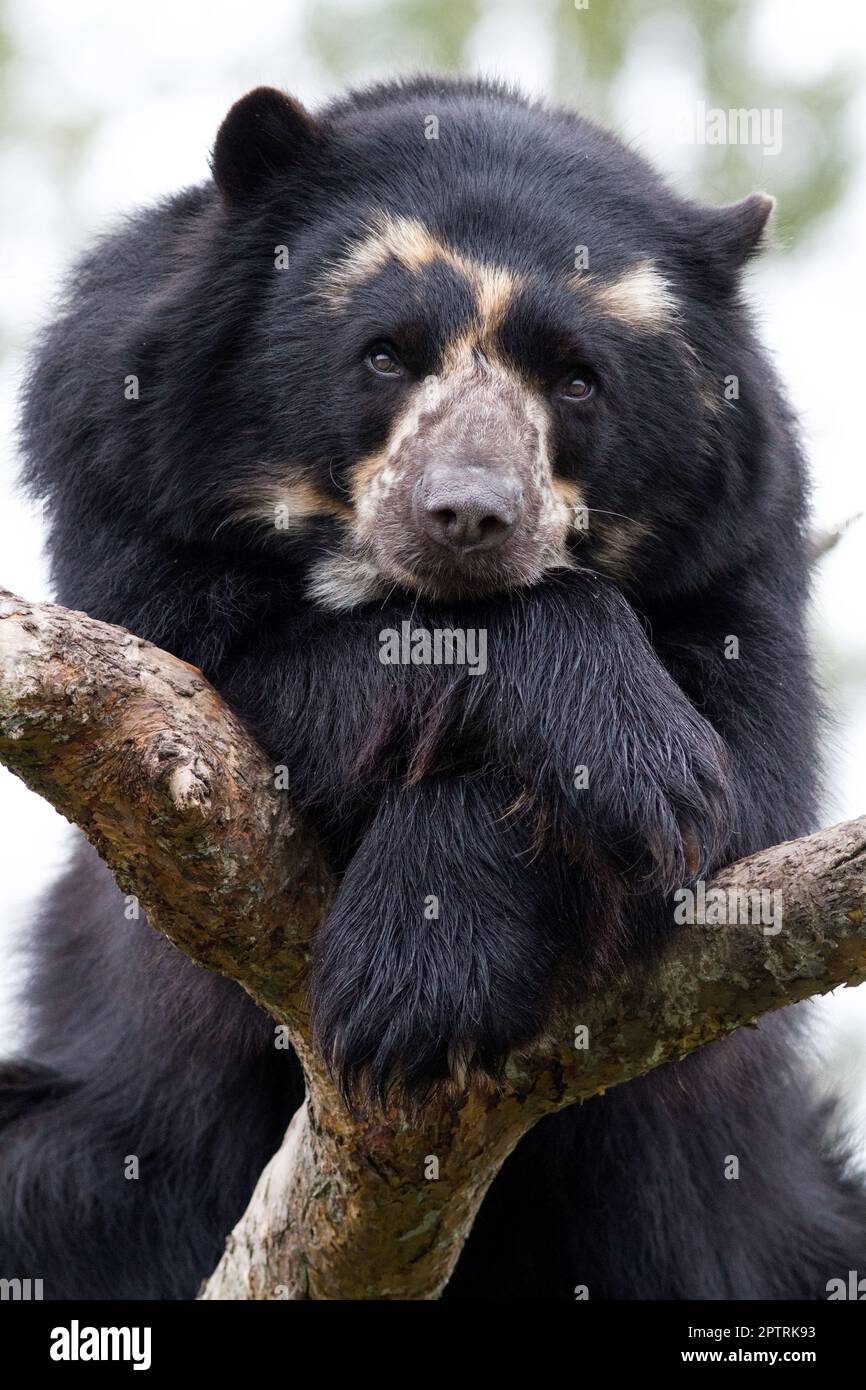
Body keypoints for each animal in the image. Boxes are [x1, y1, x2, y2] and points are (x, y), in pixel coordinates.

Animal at [1, 76, 864, 1300]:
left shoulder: (738, 563)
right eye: (383, 355)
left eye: (577, 380)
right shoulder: (121, 482)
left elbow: (737, 791)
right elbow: (221, 700)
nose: (467, 514)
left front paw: (417, 975)